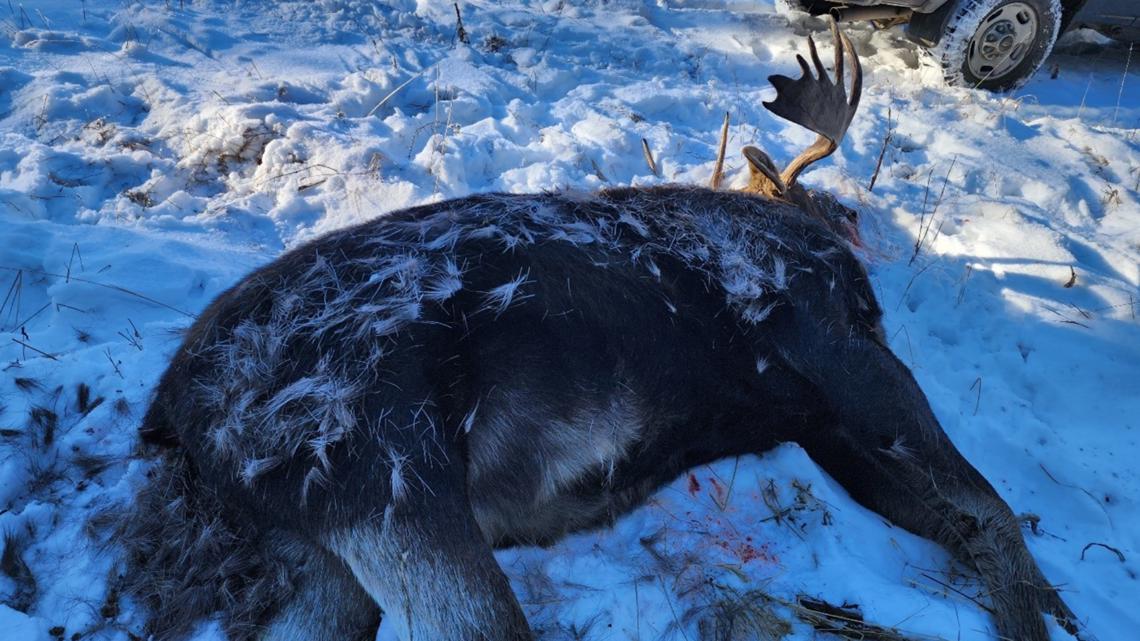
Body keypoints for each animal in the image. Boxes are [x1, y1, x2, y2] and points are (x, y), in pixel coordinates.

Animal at [120, 20, 1081, 641]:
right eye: (826, 208)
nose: (859, 230)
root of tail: (174, 414)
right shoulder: (835, 343)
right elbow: (990, 503)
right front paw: (1045, 612)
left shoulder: (819, 422)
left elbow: (954, 515)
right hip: (386, 460)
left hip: (321, 543)